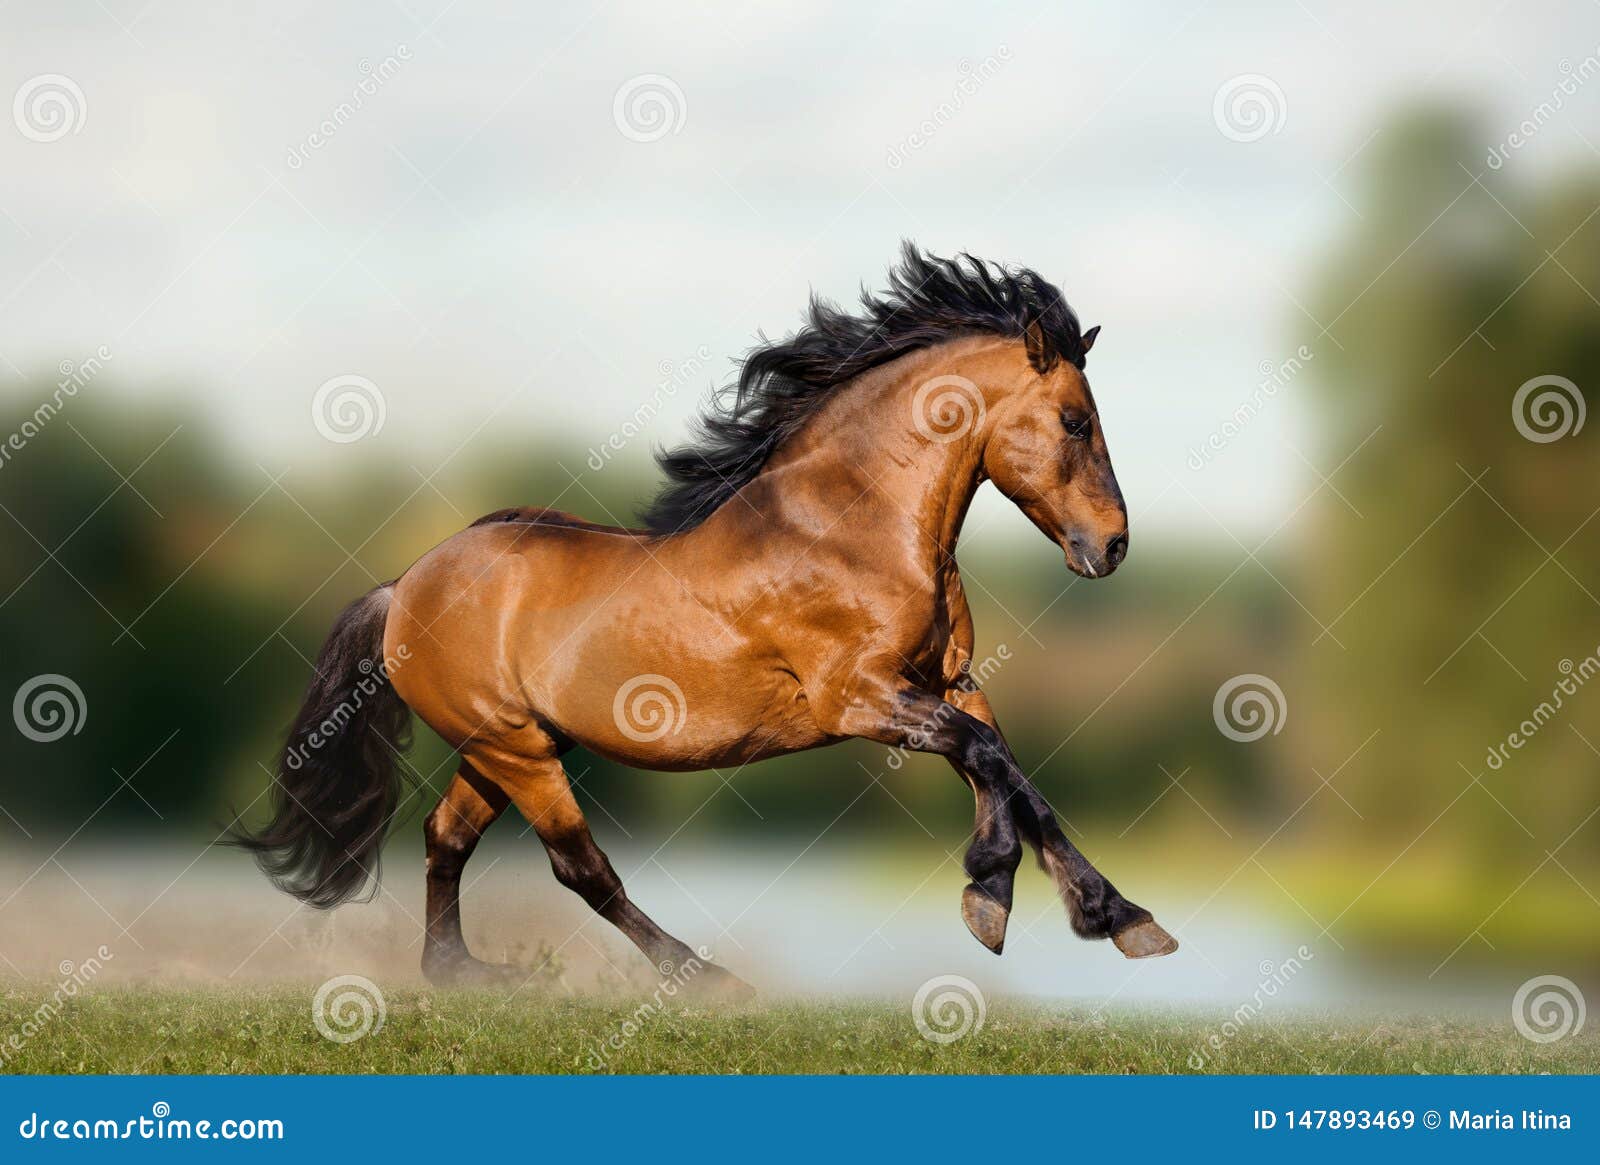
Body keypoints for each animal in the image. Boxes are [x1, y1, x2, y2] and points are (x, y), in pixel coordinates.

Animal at [232, 244, 1177, 996]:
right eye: (1075, 419)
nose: (1114, 544)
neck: (855, 526)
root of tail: (406, 584)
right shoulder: (859, 698)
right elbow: (988, 762)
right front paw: (989, 895)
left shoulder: (950, 683)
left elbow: (1019, 780)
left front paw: (1120, 916)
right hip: (516, 748)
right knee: (580, 868)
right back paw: (704, 976)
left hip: (505, 746)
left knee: (445, 837)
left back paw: (464, 973)